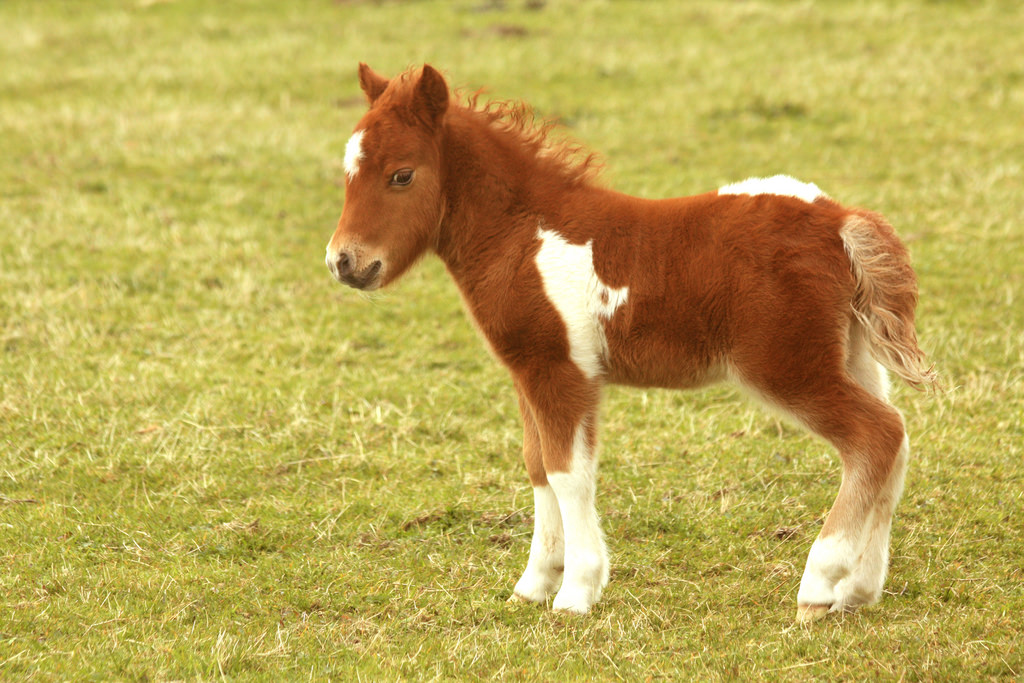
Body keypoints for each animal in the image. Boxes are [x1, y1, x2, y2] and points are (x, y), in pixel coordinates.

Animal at [325, 64, 936, 620]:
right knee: (895, 440)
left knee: (875, 437)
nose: (344, 262)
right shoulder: (530, 373)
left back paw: (819, 584)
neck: (524, 237)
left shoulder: (561, 372)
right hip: (852, 359)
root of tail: (839, 221)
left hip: (787, 367)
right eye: (349, 173)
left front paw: (575, 594)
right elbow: (537, 467)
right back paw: (860, 590)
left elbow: (569, 474)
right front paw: (534, 585)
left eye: (402, 175)